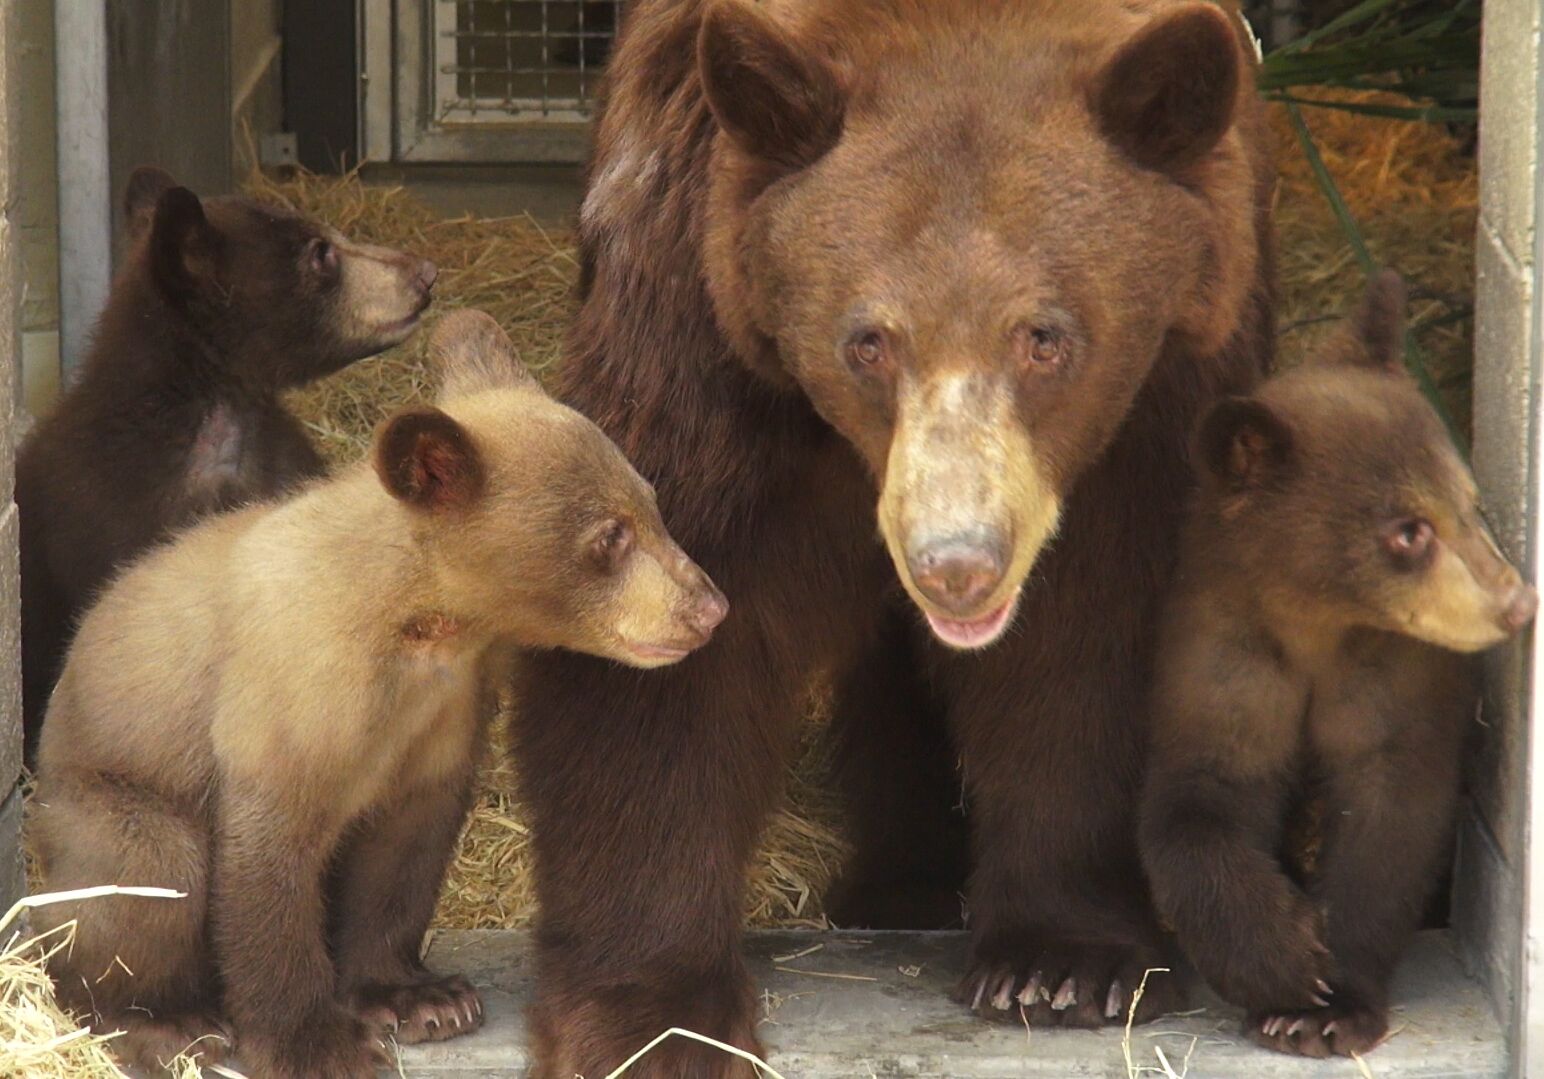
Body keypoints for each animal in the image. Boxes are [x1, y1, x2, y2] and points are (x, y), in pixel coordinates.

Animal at [28, 309, 729, 1079]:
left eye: (653, 504)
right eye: (609, 536)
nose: (708, 608)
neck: (417, 627)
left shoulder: (444, 708)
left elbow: (404, 847)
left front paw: (420, 998)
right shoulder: (288, 690)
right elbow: (268, 867)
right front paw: (319, 1044)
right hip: (109, 800)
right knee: (144, 878)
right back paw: (161, 1023)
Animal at [511, 1, 1276, 1073]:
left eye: (1045, 335)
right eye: (866, 340)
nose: (955, 566)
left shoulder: (1161, 399)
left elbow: (1094, 636)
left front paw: (1063, 960)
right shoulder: (701, 327)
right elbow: (660, 637)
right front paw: (656, 1017)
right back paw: (899, 881)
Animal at [1138, 271, 1538, 1059]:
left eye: (1470, 501)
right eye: (1408, 531)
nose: (1515, 602)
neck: (1318, 631)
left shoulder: (1394, 676)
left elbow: (1390, 817)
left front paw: (1327, 1006)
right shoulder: (1227, 660)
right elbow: (1197, 800)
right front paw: (1282, 958)